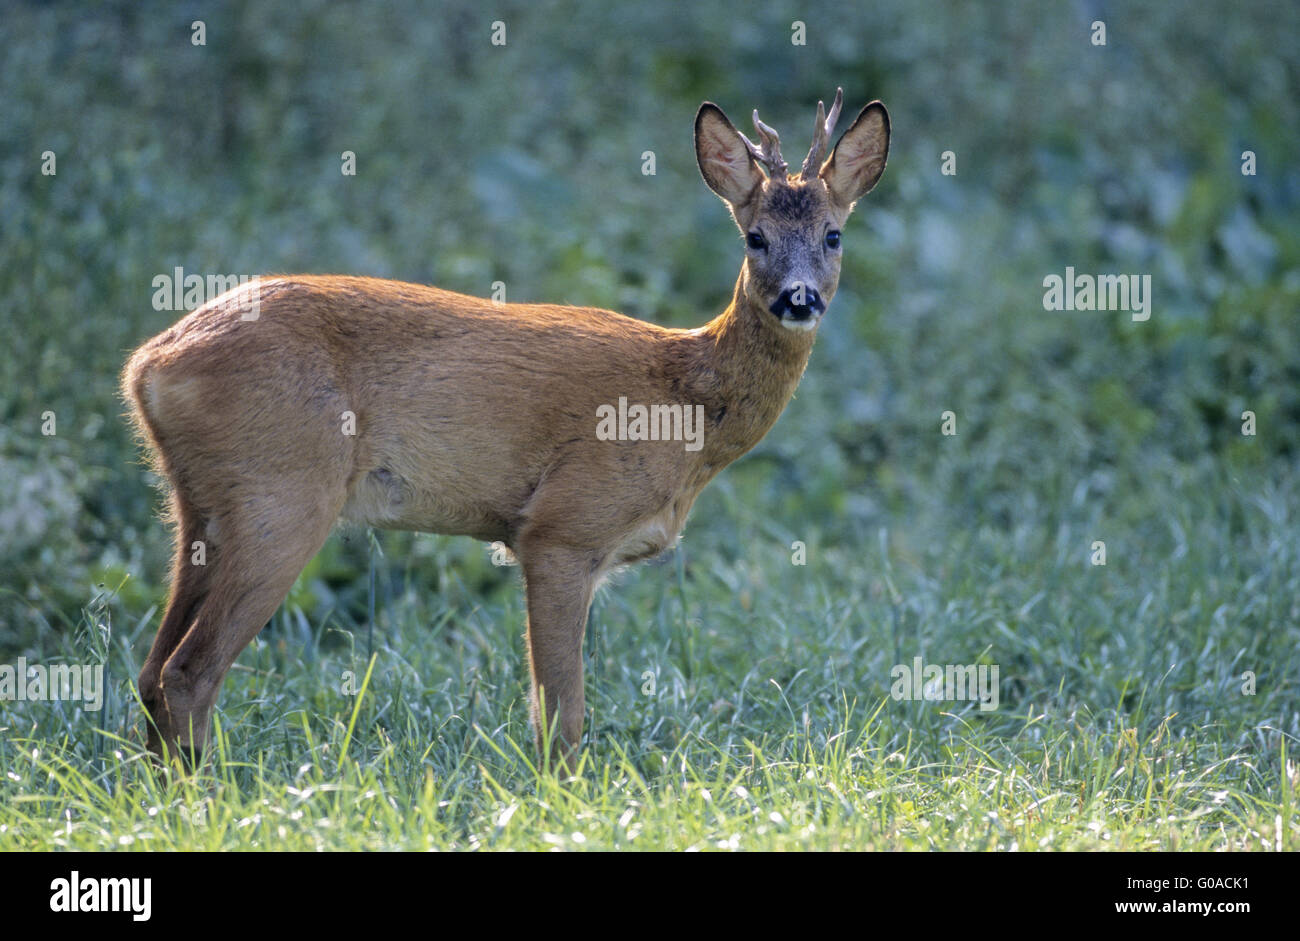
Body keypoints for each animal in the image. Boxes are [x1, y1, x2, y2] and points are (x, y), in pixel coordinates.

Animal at [122, 88, 890, 772]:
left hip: (200, 507)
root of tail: (147, 365)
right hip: (281, 494)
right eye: (755, 237)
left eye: (834, 235)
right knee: (188, 672)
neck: (686, 406)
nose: (799, 299)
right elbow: (562, 714)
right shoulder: (562, 526)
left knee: (151, 670)